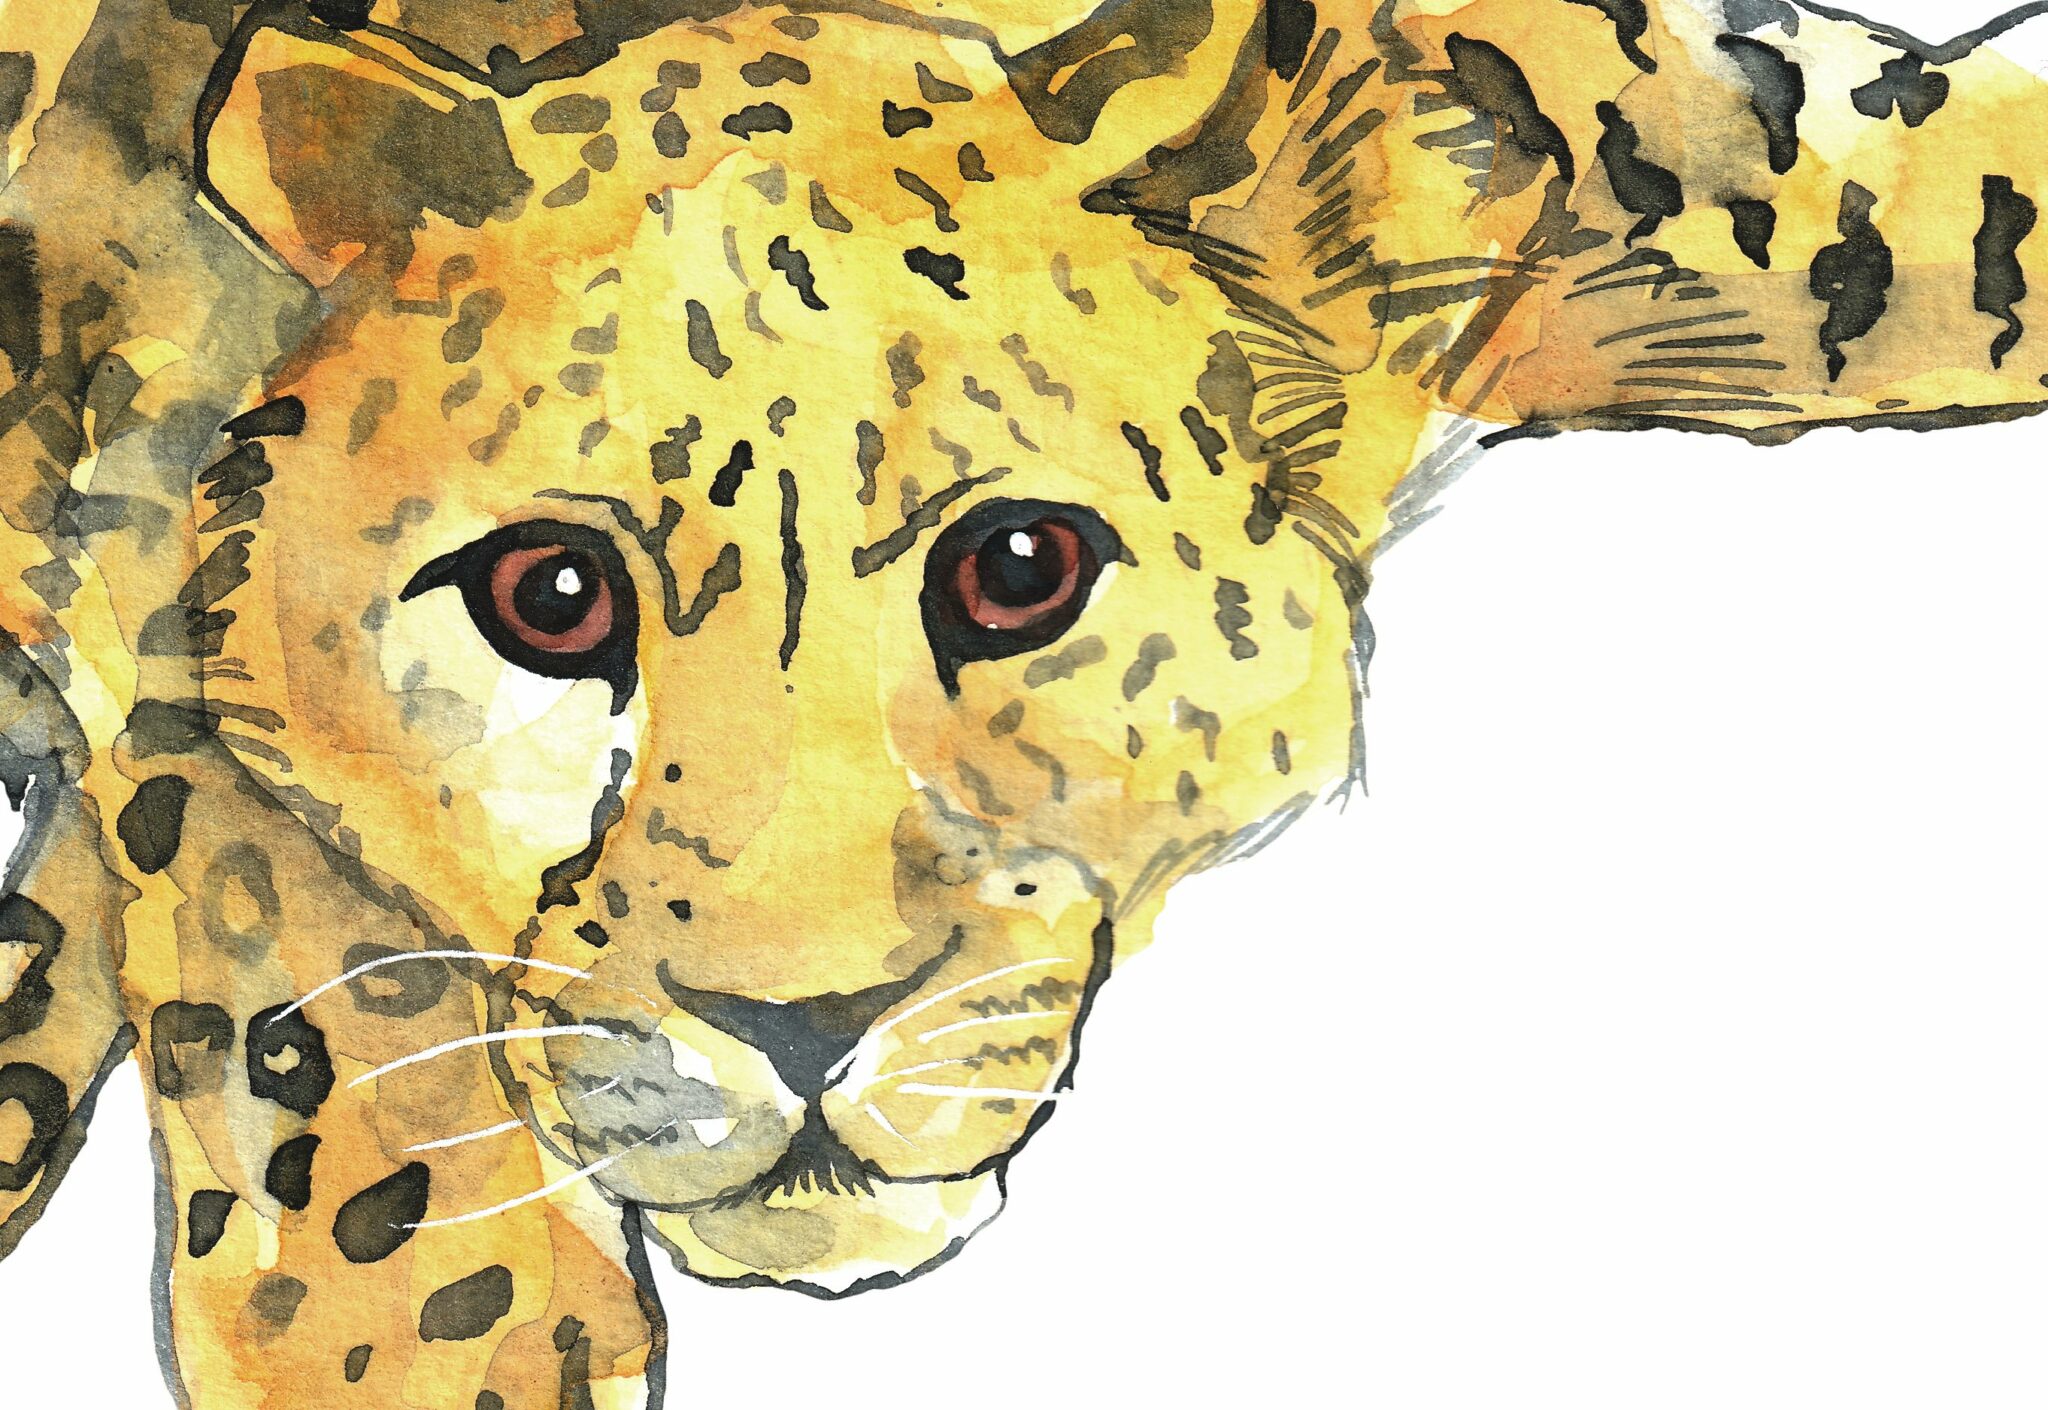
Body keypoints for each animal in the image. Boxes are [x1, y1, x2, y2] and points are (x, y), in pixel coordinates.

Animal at [0, 0, 2045, 1405]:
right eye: (549, 598)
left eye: (1017, 569)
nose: (800, 1026)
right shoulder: (175, 661)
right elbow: (373, 1153)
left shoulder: (1722, 134)